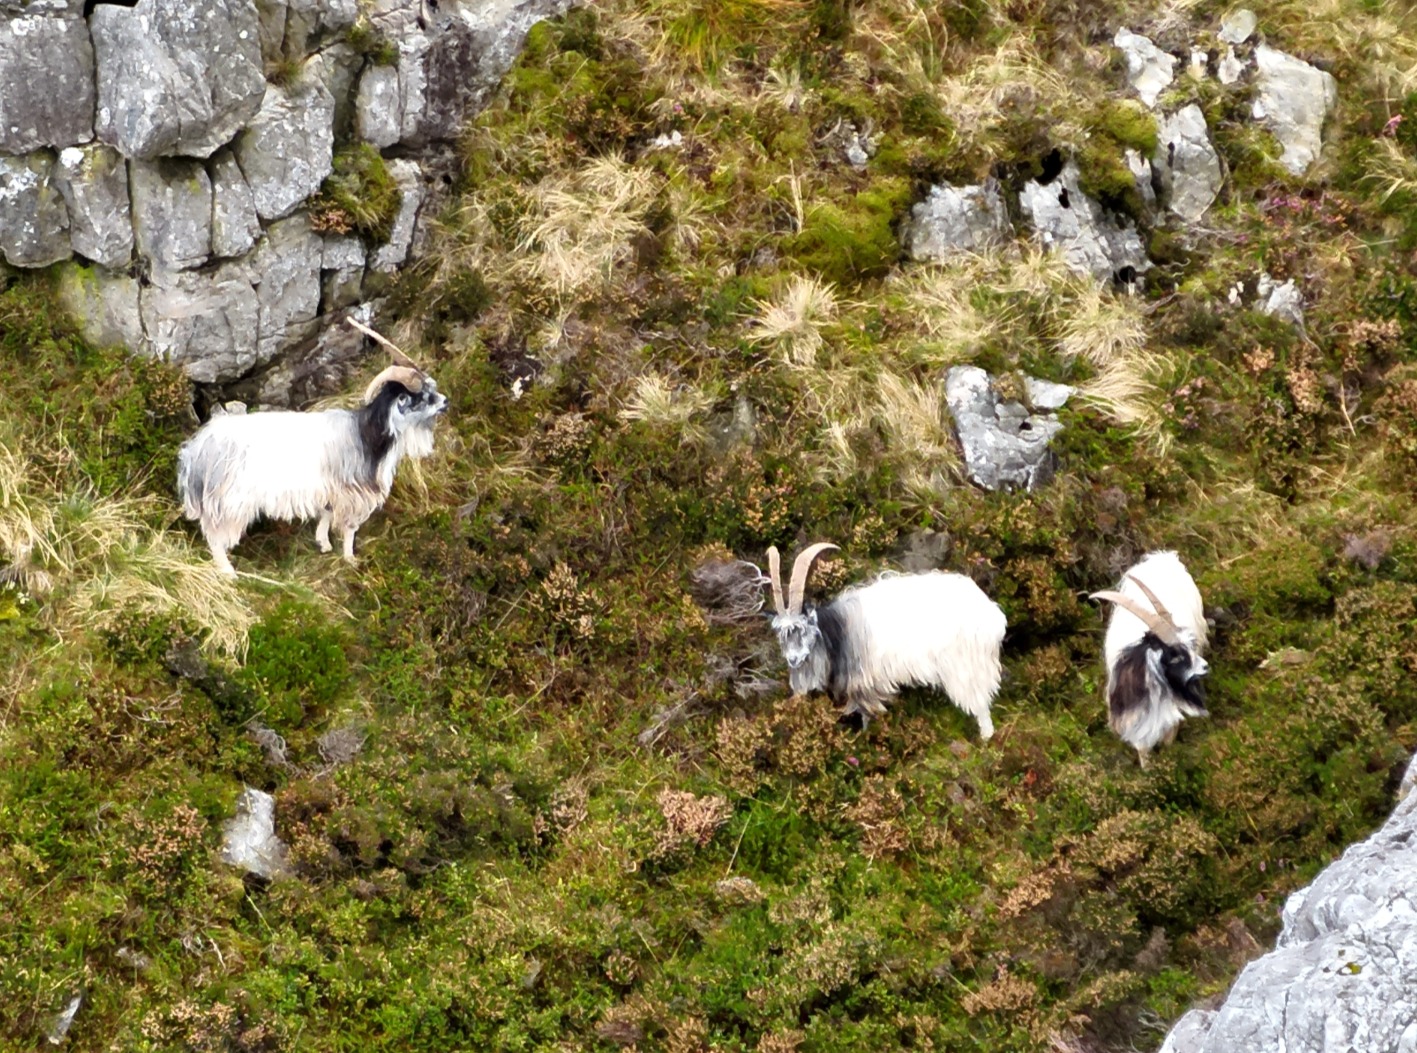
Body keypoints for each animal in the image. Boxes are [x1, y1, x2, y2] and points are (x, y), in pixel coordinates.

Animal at [177, 361, 448, 576]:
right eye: (423, 397)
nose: (446, 401)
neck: (366, 434)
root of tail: (197, 451)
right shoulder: (352, 494)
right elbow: (349, 529)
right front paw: (349, 558)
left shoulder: (330, 490)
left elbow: (326, 513)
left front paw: (324, 543)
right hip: (228, 503)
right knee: (214, 537)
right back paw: (228, 572)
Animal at [764, 542, 1007, 739]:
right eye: (780, 634)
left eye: (802, 629)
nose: (793, 660)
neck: (838, 632)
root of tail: (992, 616)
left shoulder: (864, 684)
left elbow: (866, 715)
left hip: (965, 667)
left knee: (980, 704)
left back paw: (985, 739)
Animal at [1091, 550, 1209, 766]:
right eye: (1174, 657)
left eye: (1189, 646)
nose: (1205, 667)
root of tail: (1163, 557)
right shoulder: (1135, 717)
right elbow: (1143, 749)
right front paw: (1149, 770)